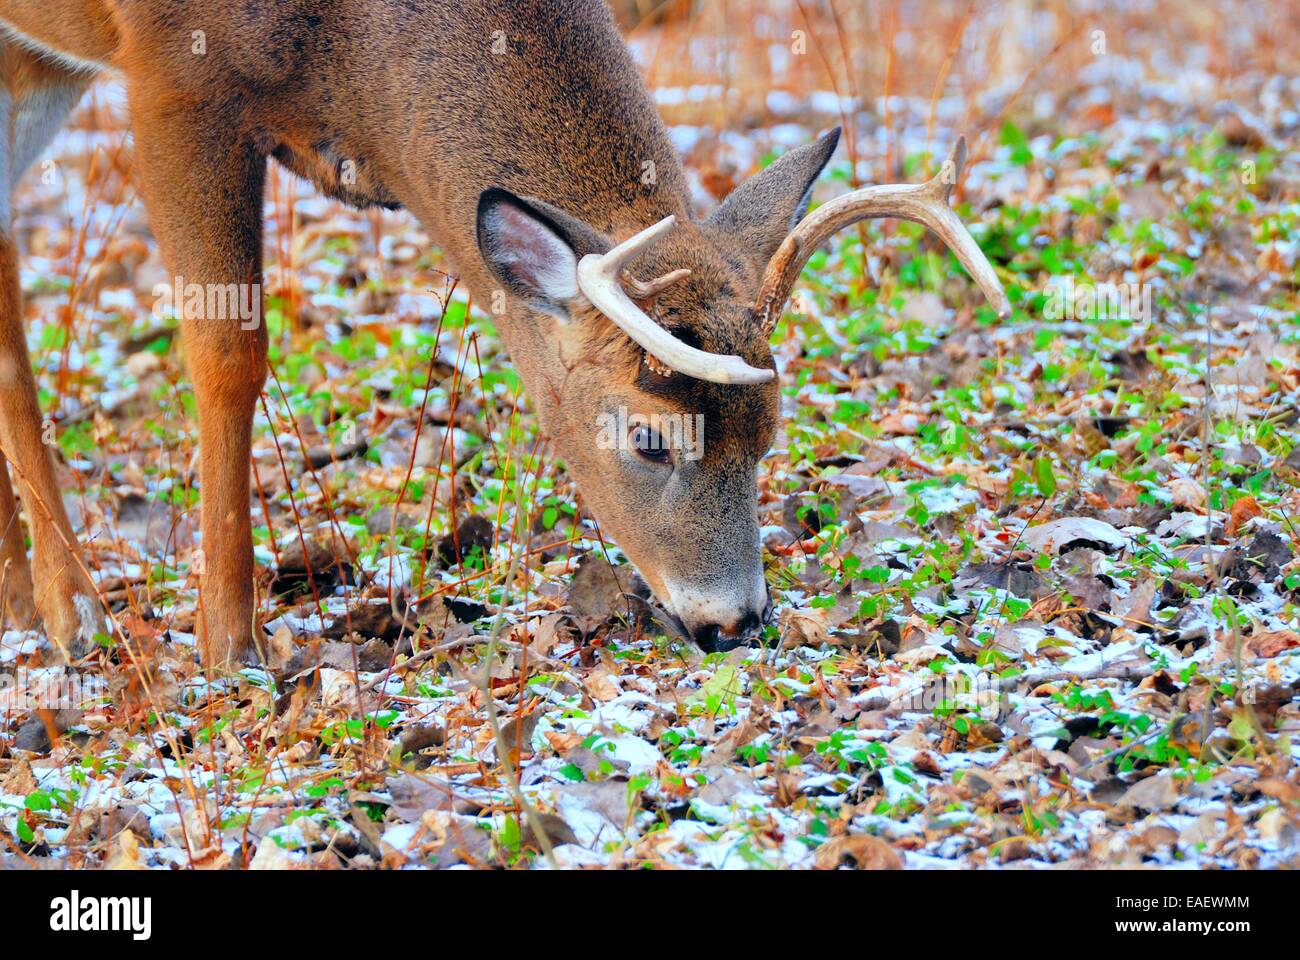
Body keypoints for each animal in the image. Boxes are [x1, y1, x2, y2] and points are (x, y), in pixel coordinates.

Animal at [0, 0, 1008, 666]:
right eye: (650, 440)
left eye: (767, 437)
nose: (733, 623)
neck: (349, 59)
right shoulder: (173, 74)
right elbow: (227, 355)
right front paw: (231, 645)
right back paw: (76, 612)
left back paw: (35, 604)